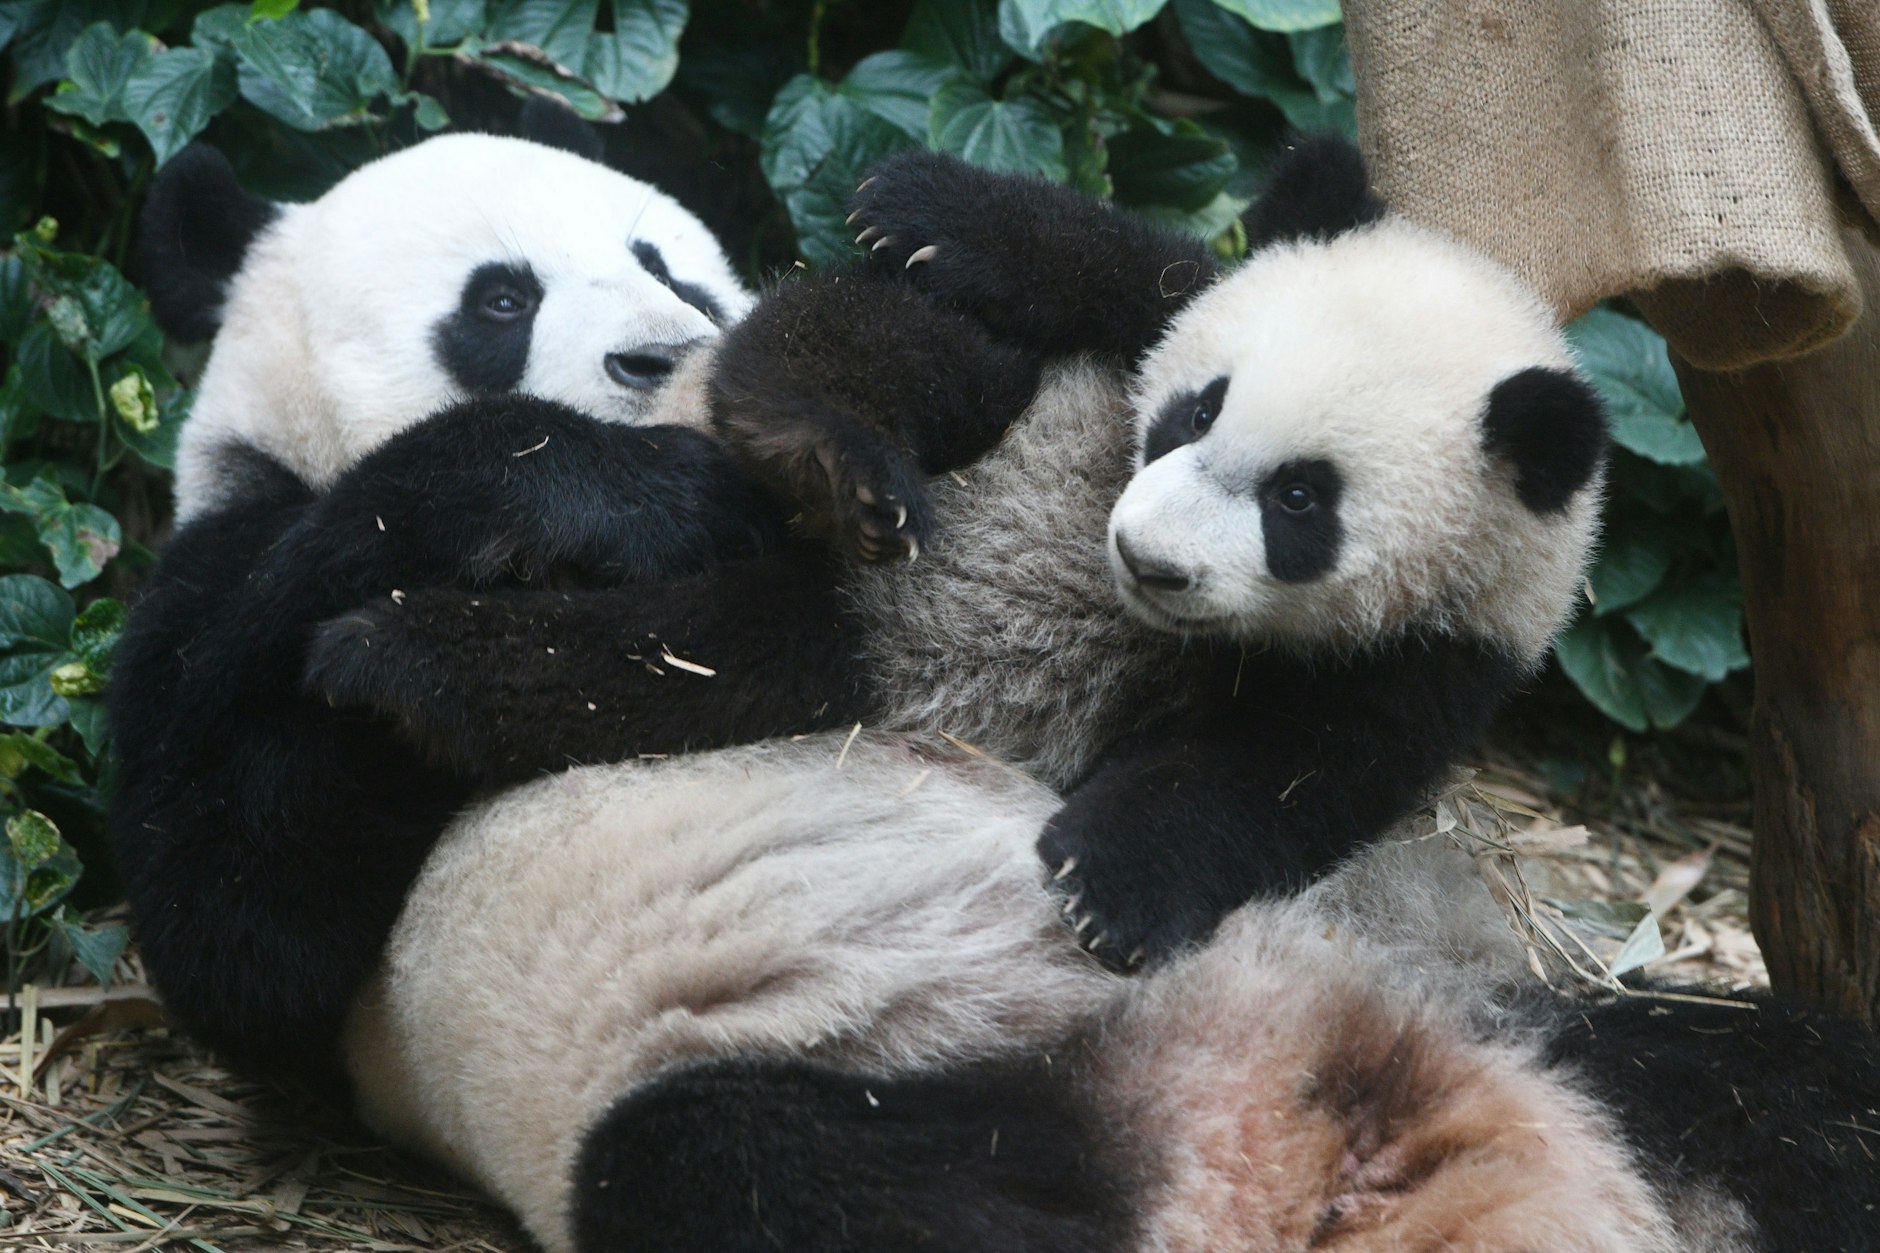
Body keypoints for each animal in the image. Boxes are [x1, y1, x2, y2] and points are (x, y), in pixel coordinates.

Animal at [301, 138, 1609, 968]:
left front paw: (1105, 888)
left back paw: (407, 665)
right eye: (1195, 411)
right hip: (971, 425)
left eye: (1301, 500)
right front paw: (922, 202)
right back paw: (829, 453)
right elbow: (1113, 261)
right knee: (862, 348)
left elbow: (1267, 778)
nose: (1144, 557)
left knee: (658, 663)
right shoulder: (1136, 326)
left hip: (820, 653)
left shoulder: (1426, 659)